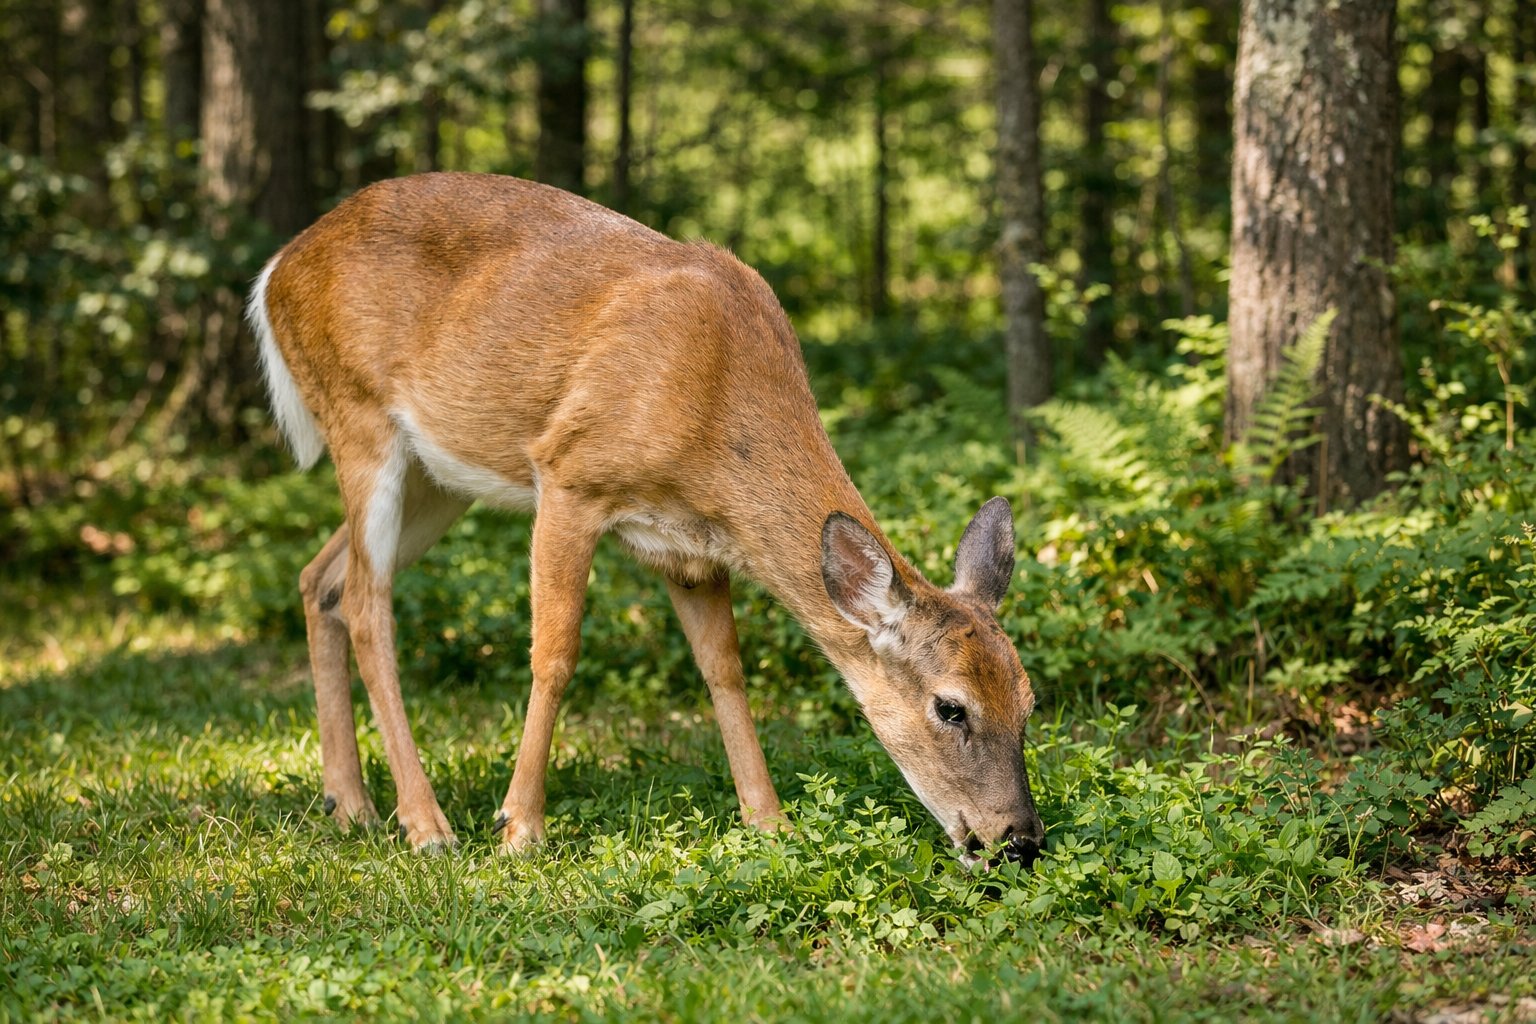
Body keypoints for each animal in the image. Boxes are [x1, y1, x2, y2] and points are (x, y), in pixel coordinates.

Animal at [248, 172, 1046, 867]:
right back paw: (425, 823)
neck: (715, 406)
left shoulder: (690, 549)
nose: (1019, 842)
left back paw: (350, 805)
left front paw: (770, 821)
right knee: (365, 603)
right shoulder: (569, 475)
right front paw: (519, 827)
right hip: (359, 417)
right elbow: (555, 654)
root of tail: (275, 272)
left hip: (440, 477)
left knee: (319, 578)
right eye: (951, 708)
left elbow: (725, 670)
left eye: (1030, 699)